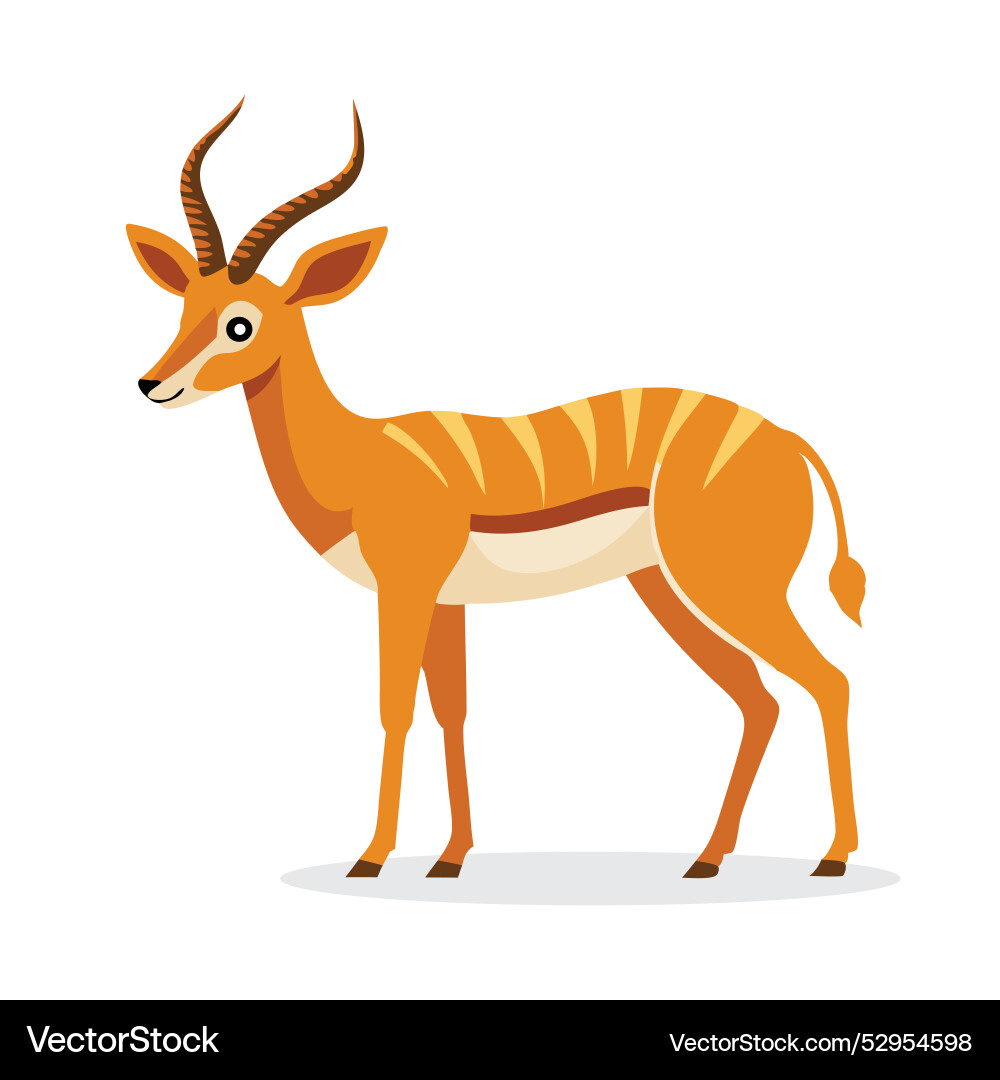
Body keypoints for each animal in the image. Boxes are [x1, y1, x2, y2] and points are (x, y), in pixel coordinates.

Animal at [130, 100, 866, 881]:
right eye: (185, 306)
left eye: (241, 323)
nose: (152, 383)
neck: (358, 456)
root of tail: (787, 439)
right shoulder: (447, 602)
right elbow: (451, 710)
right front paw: (450, 858)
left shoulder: (406, 589)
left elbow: (396, 707)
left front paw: (372, 857)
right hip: (668, 589)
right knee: (760, 701)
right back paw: (707, 859)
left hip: (730, 588)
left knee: (828, 681)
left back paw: (831, 857)